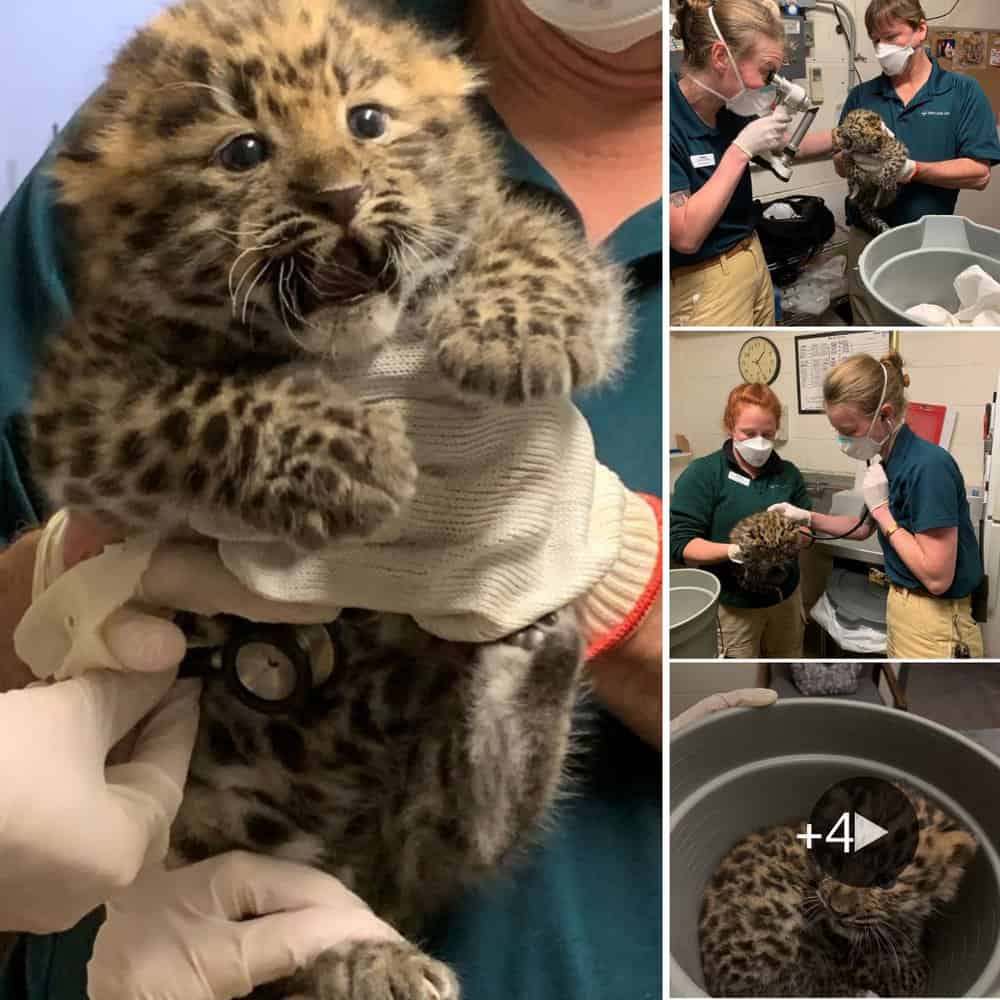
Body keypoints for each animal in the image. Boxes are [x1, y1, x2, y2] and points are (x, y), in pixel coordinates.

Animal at [832, 108, 911, 238]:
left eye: (852, 125)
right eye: (843, 122)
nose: (837, 131)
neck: (868, 150)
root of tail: (866, 202)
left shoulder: (900, 150)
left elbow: (890, 166)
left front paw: (882, 180)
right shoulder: (847, 156)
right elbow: (850, 165)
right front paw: (861, 174)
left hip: (890, 195)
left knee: (882, 198)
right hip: (859, 196)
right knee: (854, 192)